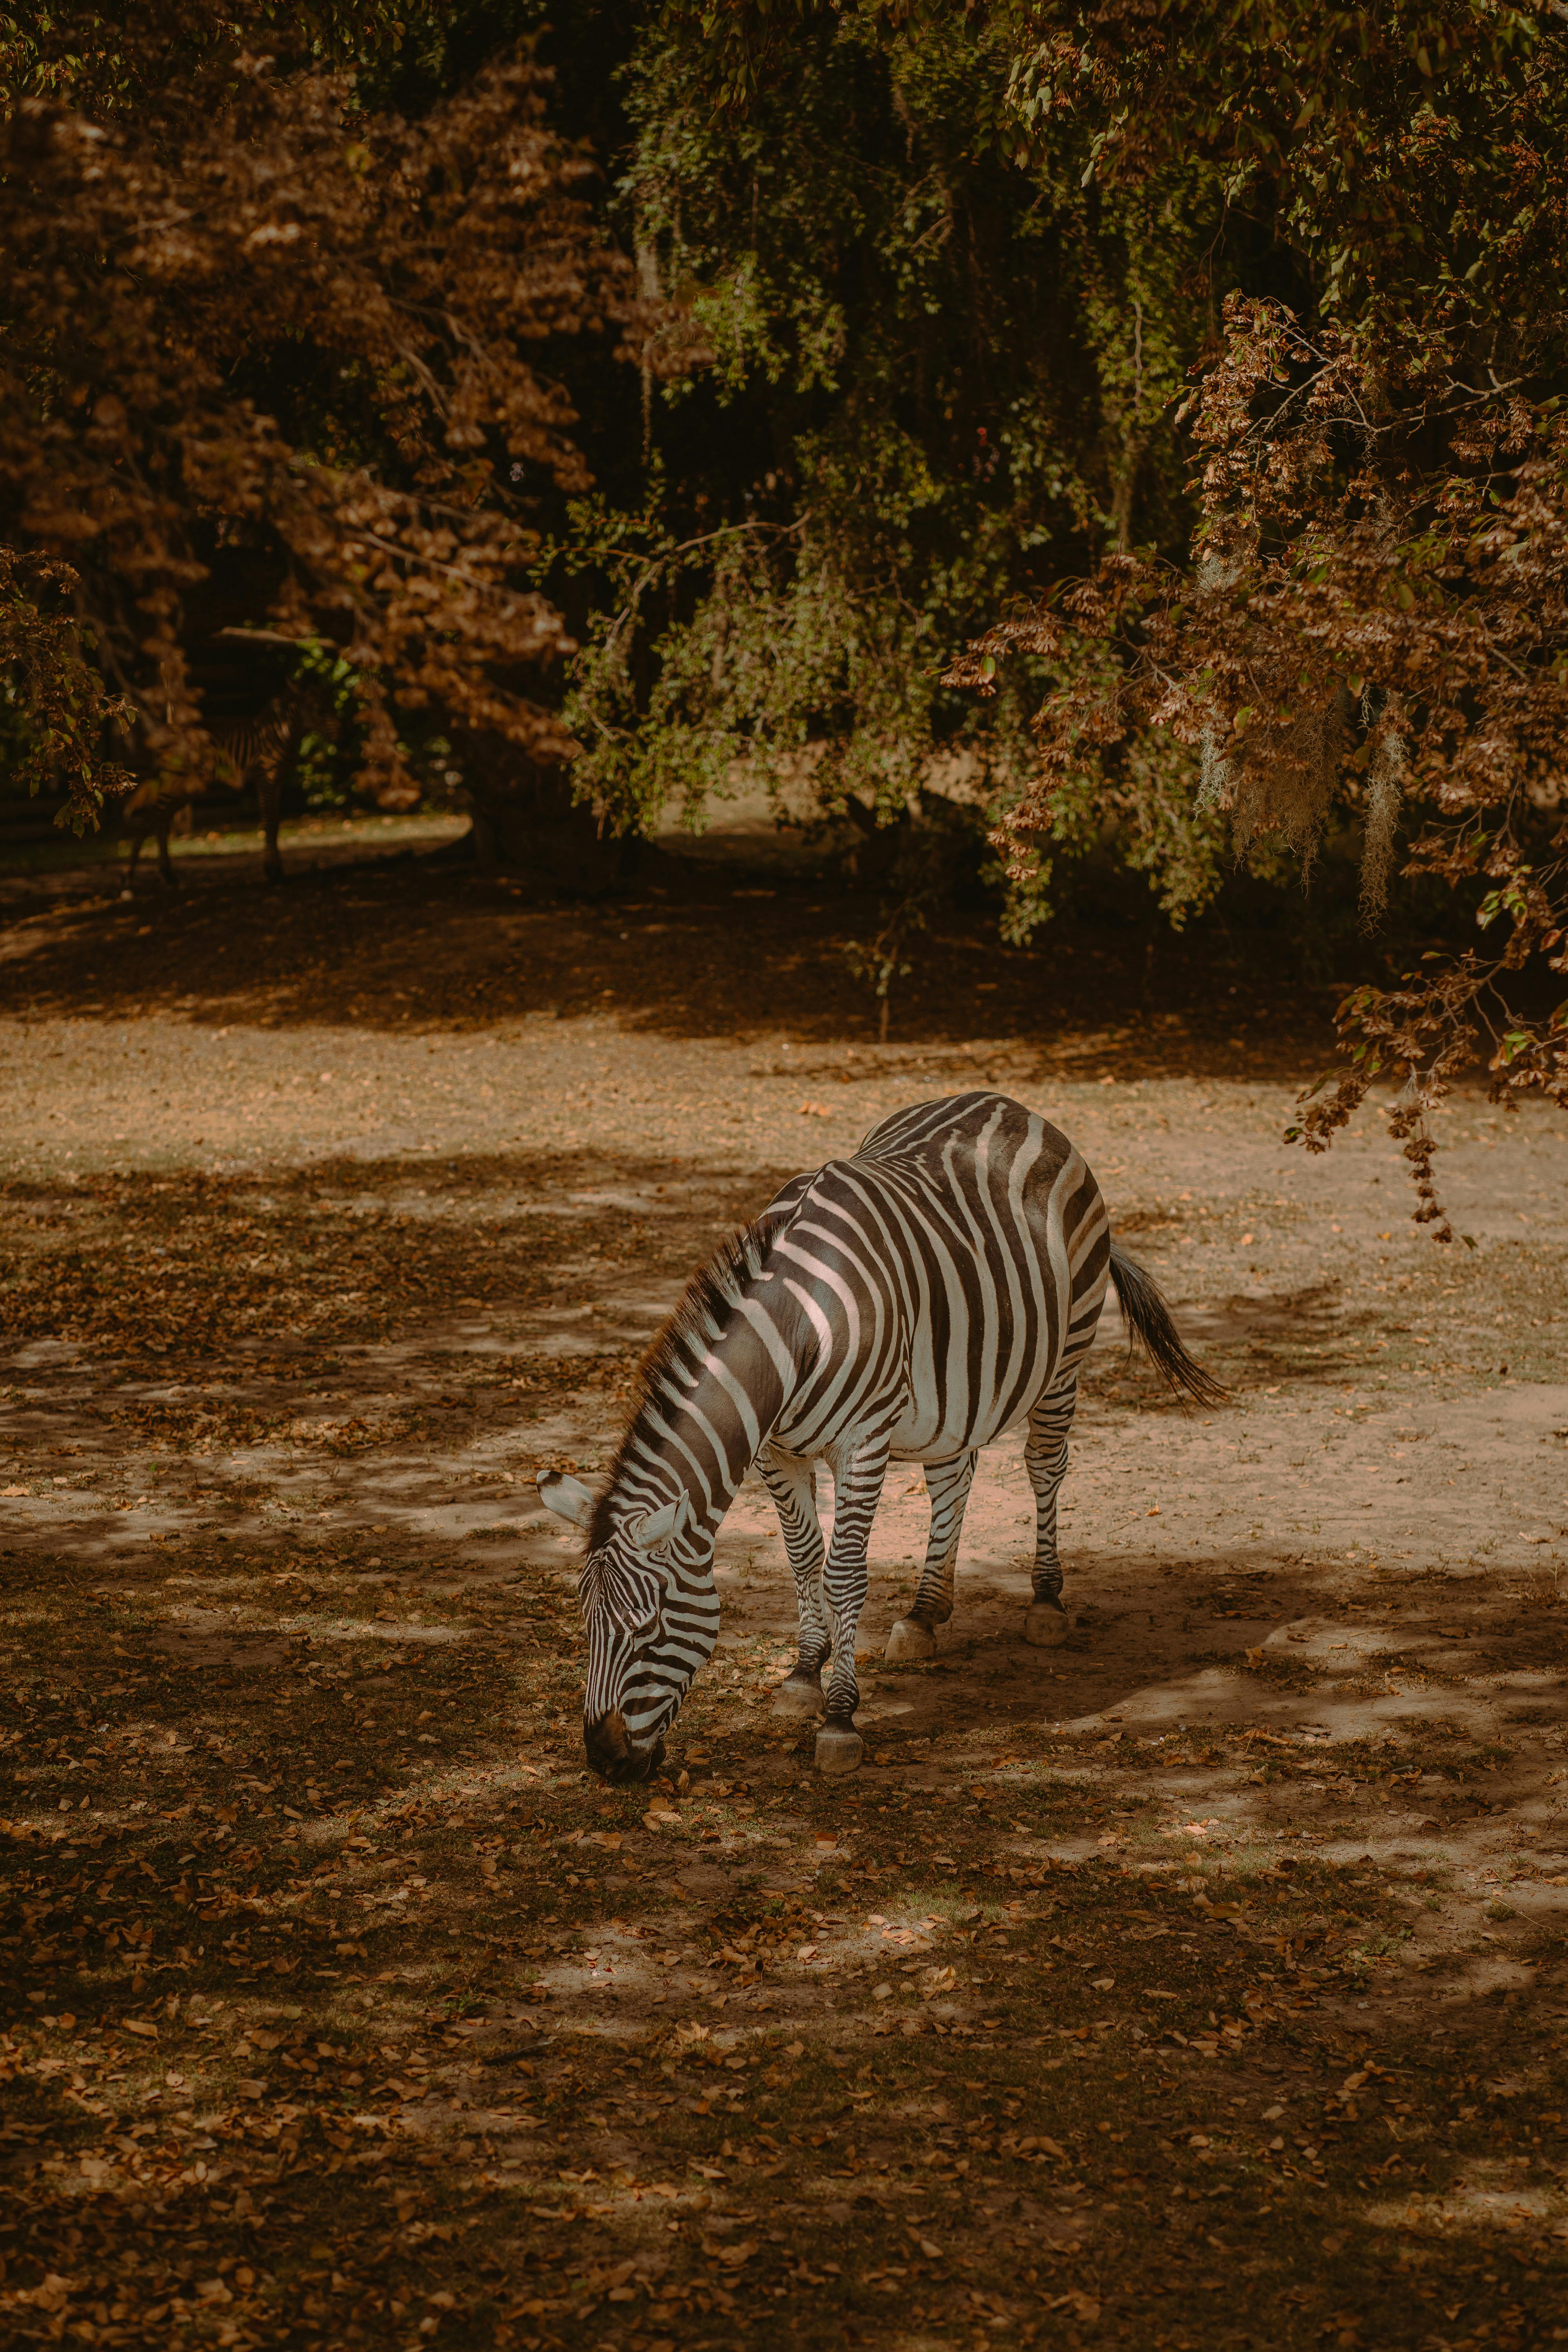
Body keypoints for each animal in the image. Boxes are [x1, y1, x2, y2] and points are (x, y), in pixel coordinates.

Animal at [537, 1091, 1222, 1782]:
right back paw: (924, 1616)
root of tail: (1009, 1104)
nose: (605, 1761)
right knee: (953, 1482)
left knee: (1044, 1468)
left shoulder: (862, 1442)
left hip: (1066, 1358)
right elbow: (803, 1557)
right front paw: (803, 1674)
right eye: (585, 1624)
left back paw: (1046, 1602)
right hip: (955, 1393)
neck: (797, 1325)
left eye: (647, 1628)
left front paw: (840, 1719)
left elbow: (843, 1573)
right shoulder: (777, 1452)